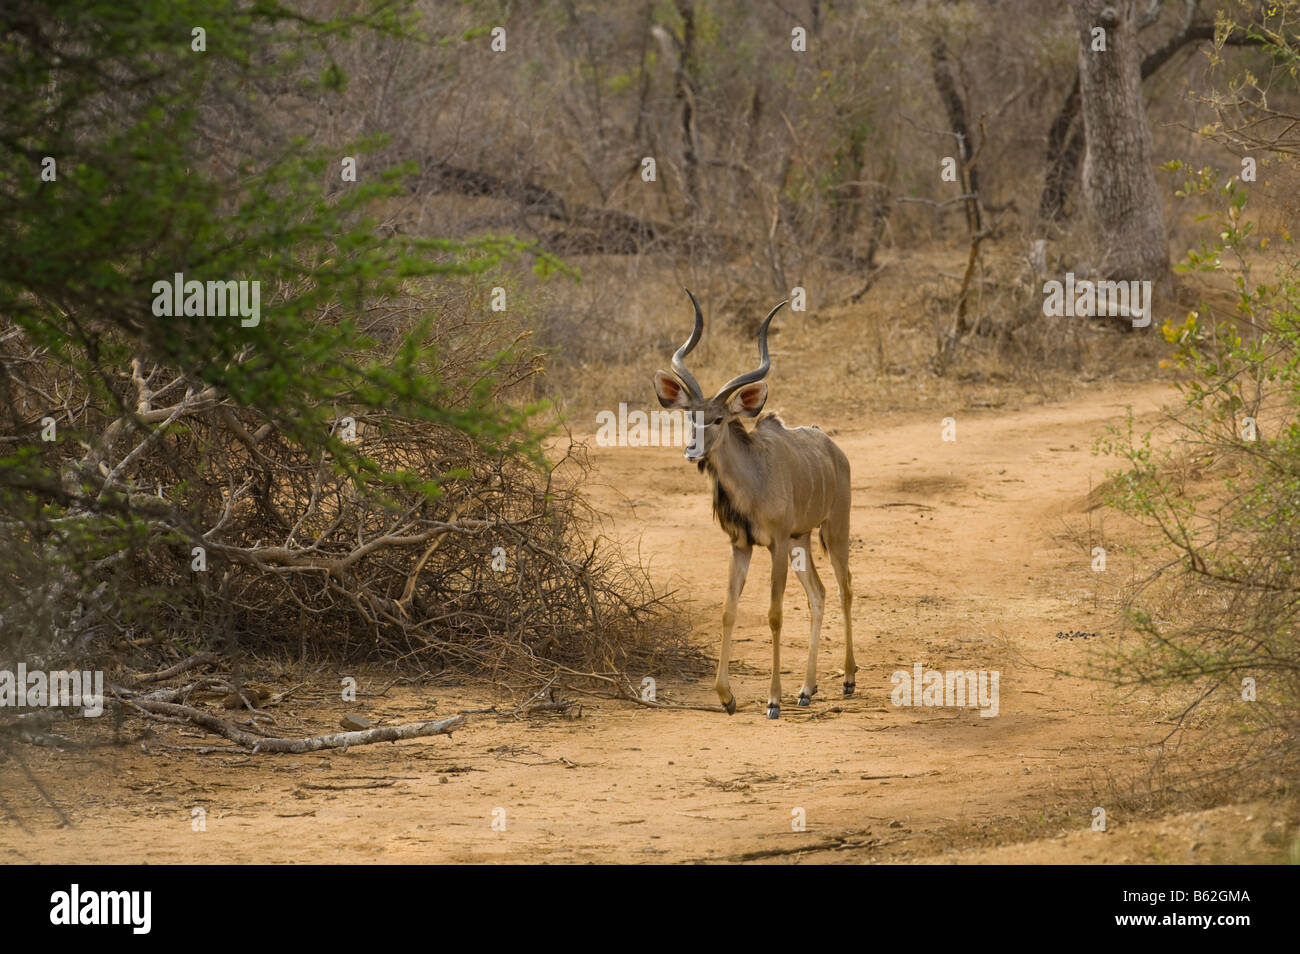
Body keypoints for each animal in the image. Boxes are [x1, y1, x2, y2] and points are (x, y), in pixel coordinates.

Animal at [653, 289, 855, 719]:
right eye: (690, 416)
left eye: (717, 419)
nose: (691, 451)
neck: (754, 480)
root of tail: (834, 450)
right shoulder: (741, 546)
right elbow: (729, 609)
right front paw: (726, 697)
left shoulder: (774, 544)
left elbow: (774, 615)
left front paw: (773, 701)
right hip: (801, 541)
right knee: (819, 593)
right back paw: (806, 689)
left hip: (833, 530)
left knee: (844, 587)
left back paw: (847, 679)